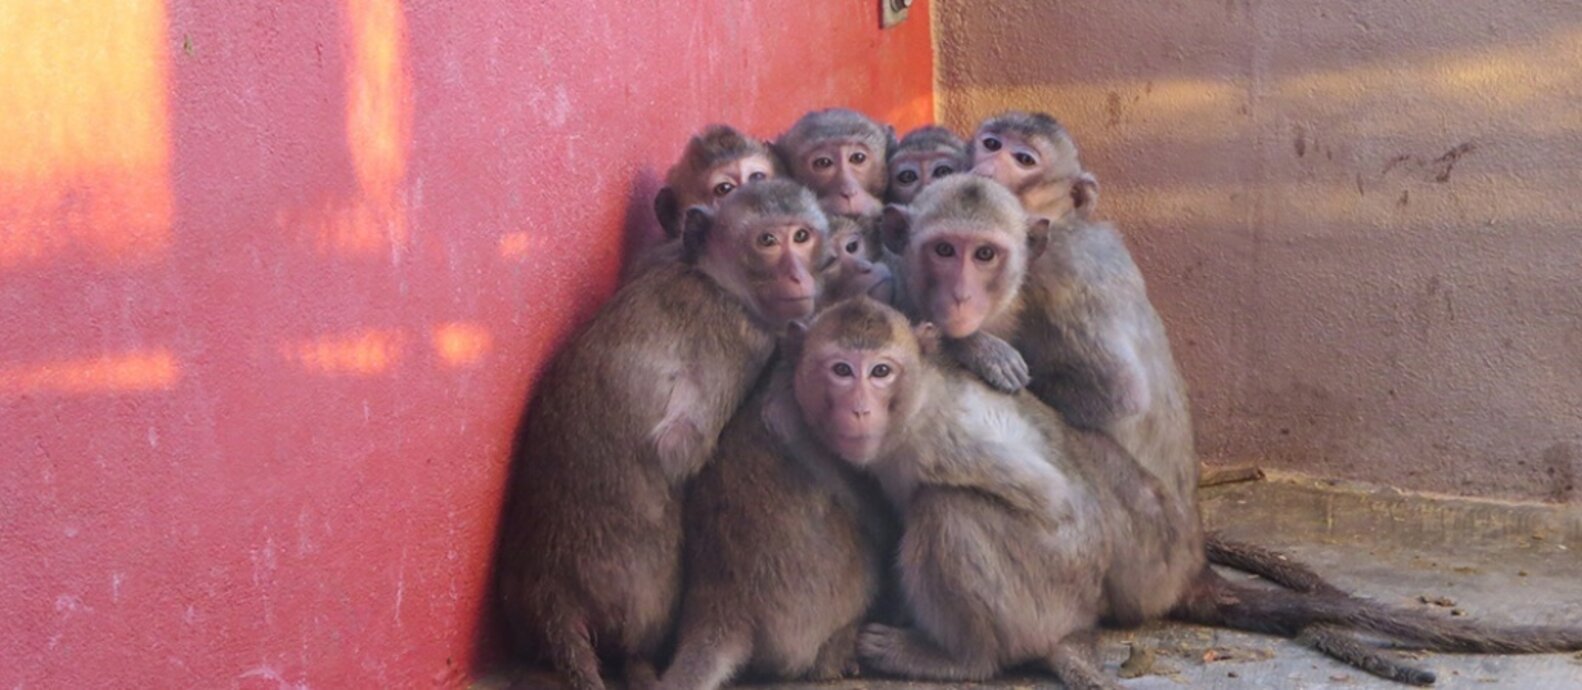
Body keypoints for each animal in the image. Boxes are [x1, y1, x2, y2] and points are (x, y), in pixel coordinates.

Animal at [496, 179, 833, 690]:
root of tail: (551, 596)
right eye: (768, 241)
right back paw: (639, 663)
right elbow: (677, 447)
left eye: (802, 236)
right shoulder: (739, 338)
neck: (711, 277)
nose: (798, 277)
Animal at [785, 298, 1582, 687]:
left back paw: (969, 657)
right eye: (839, 368)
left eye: (879, 371)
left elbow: (1057, 510)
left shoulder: (939, 433)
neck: (911, 405)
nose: (855, 406)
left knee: (949, 510)